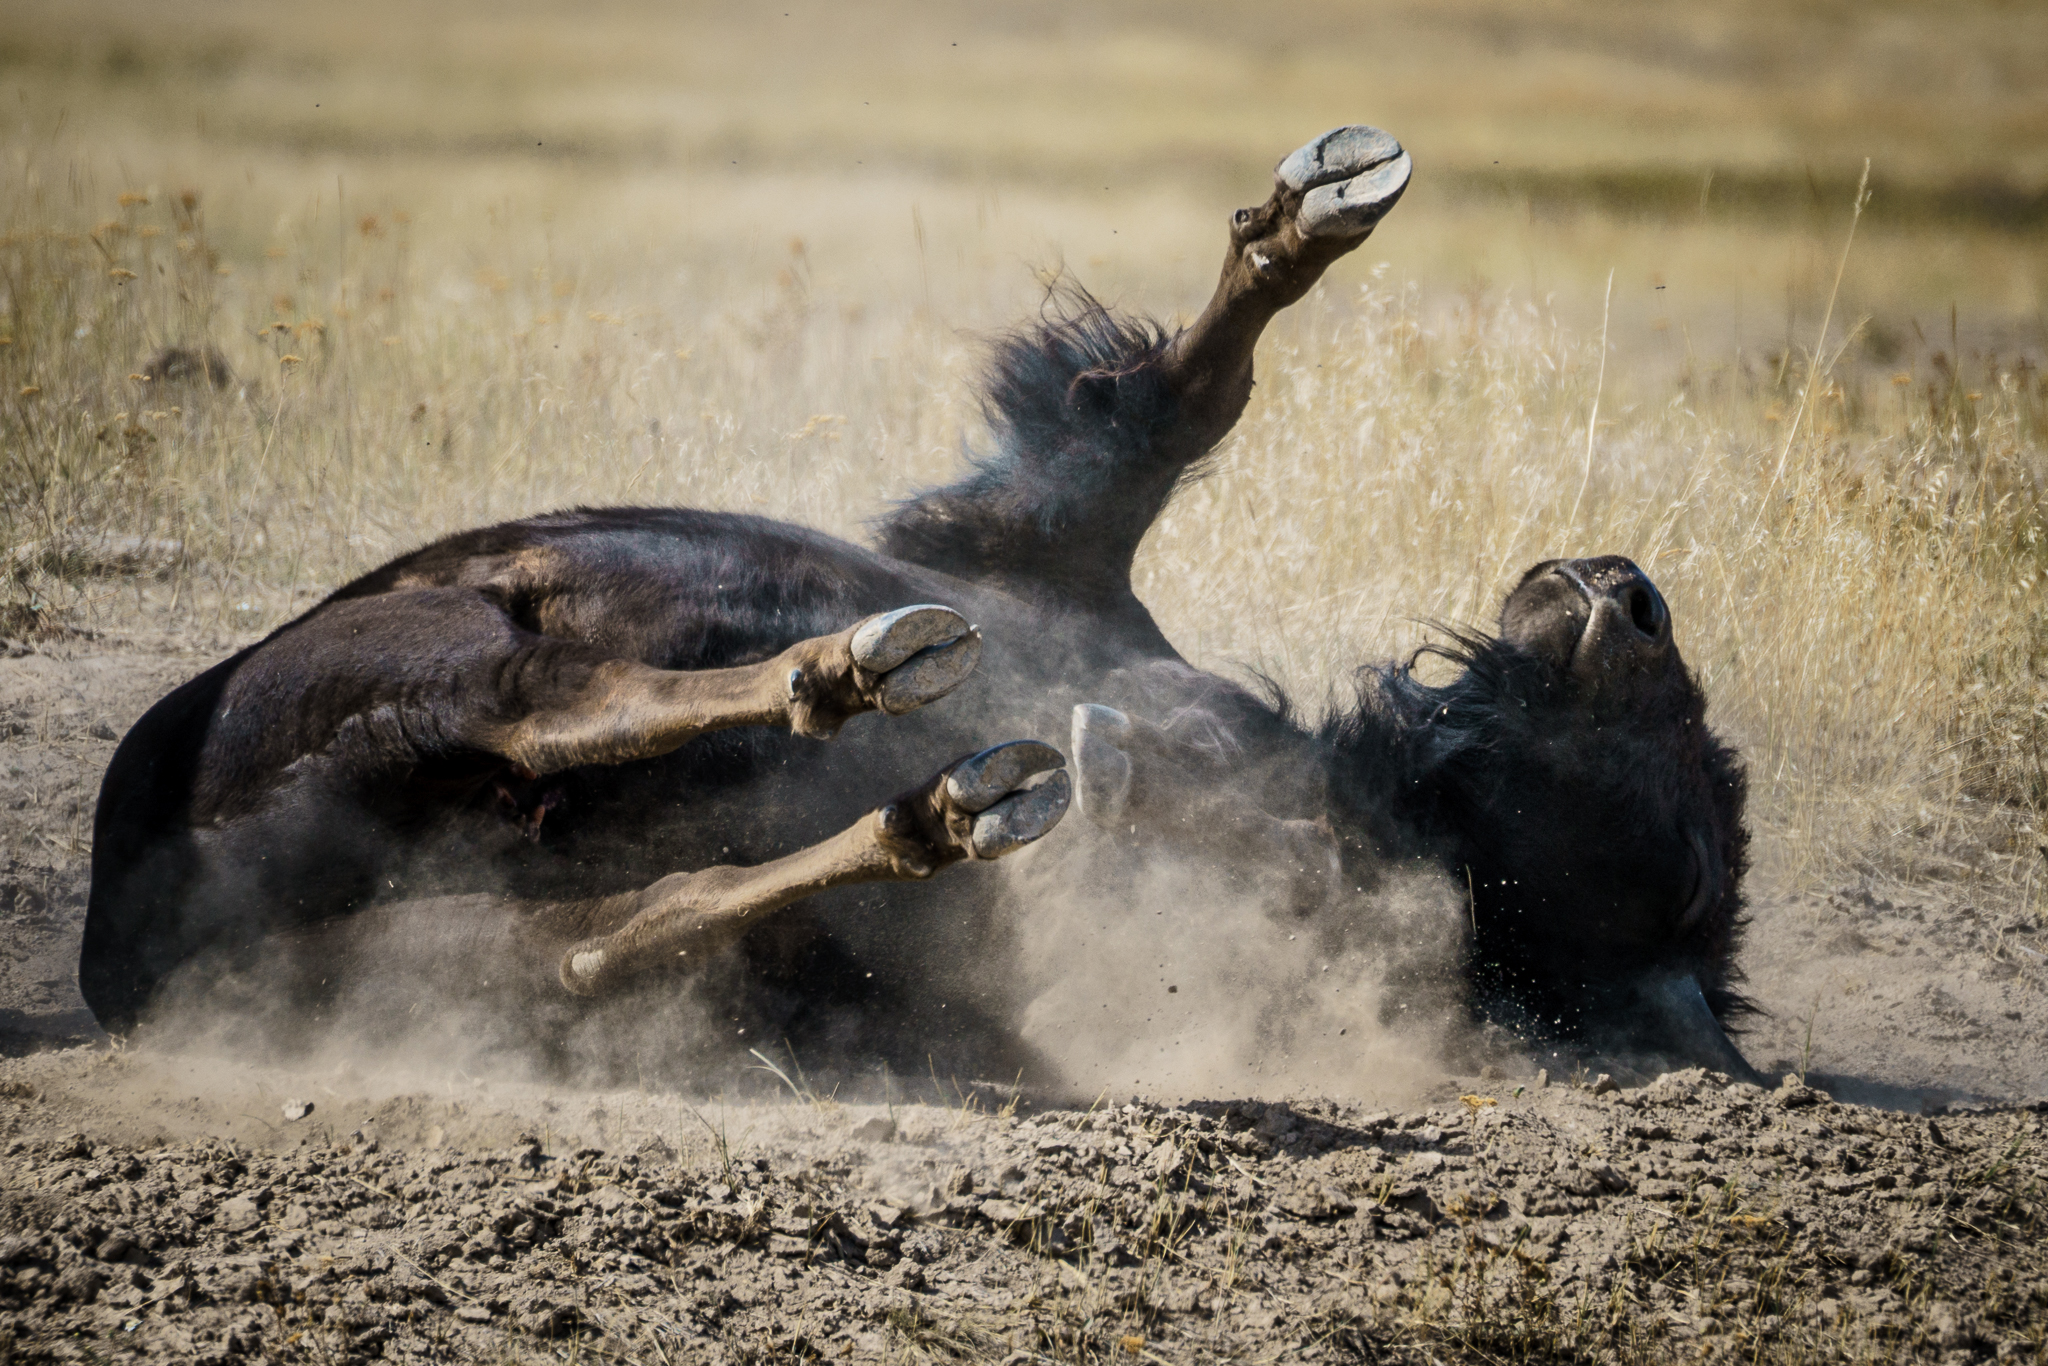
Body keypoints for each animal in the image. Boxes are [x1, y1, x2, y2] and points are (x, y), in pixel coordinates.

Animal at [81, 125, 1758, 1085]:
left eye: (1684, 847)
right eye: (1692, 787)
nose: (1630, 593)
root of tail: (120, 948)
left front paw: (1106, 773)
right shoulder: (1033, 546)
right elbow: (1169, 401)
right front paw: (1316, 205)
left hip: (453, 865)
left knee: (599, 866)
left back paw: (935, 764)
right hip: (446, 700)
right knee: (586, 778)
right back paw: (930, 744)